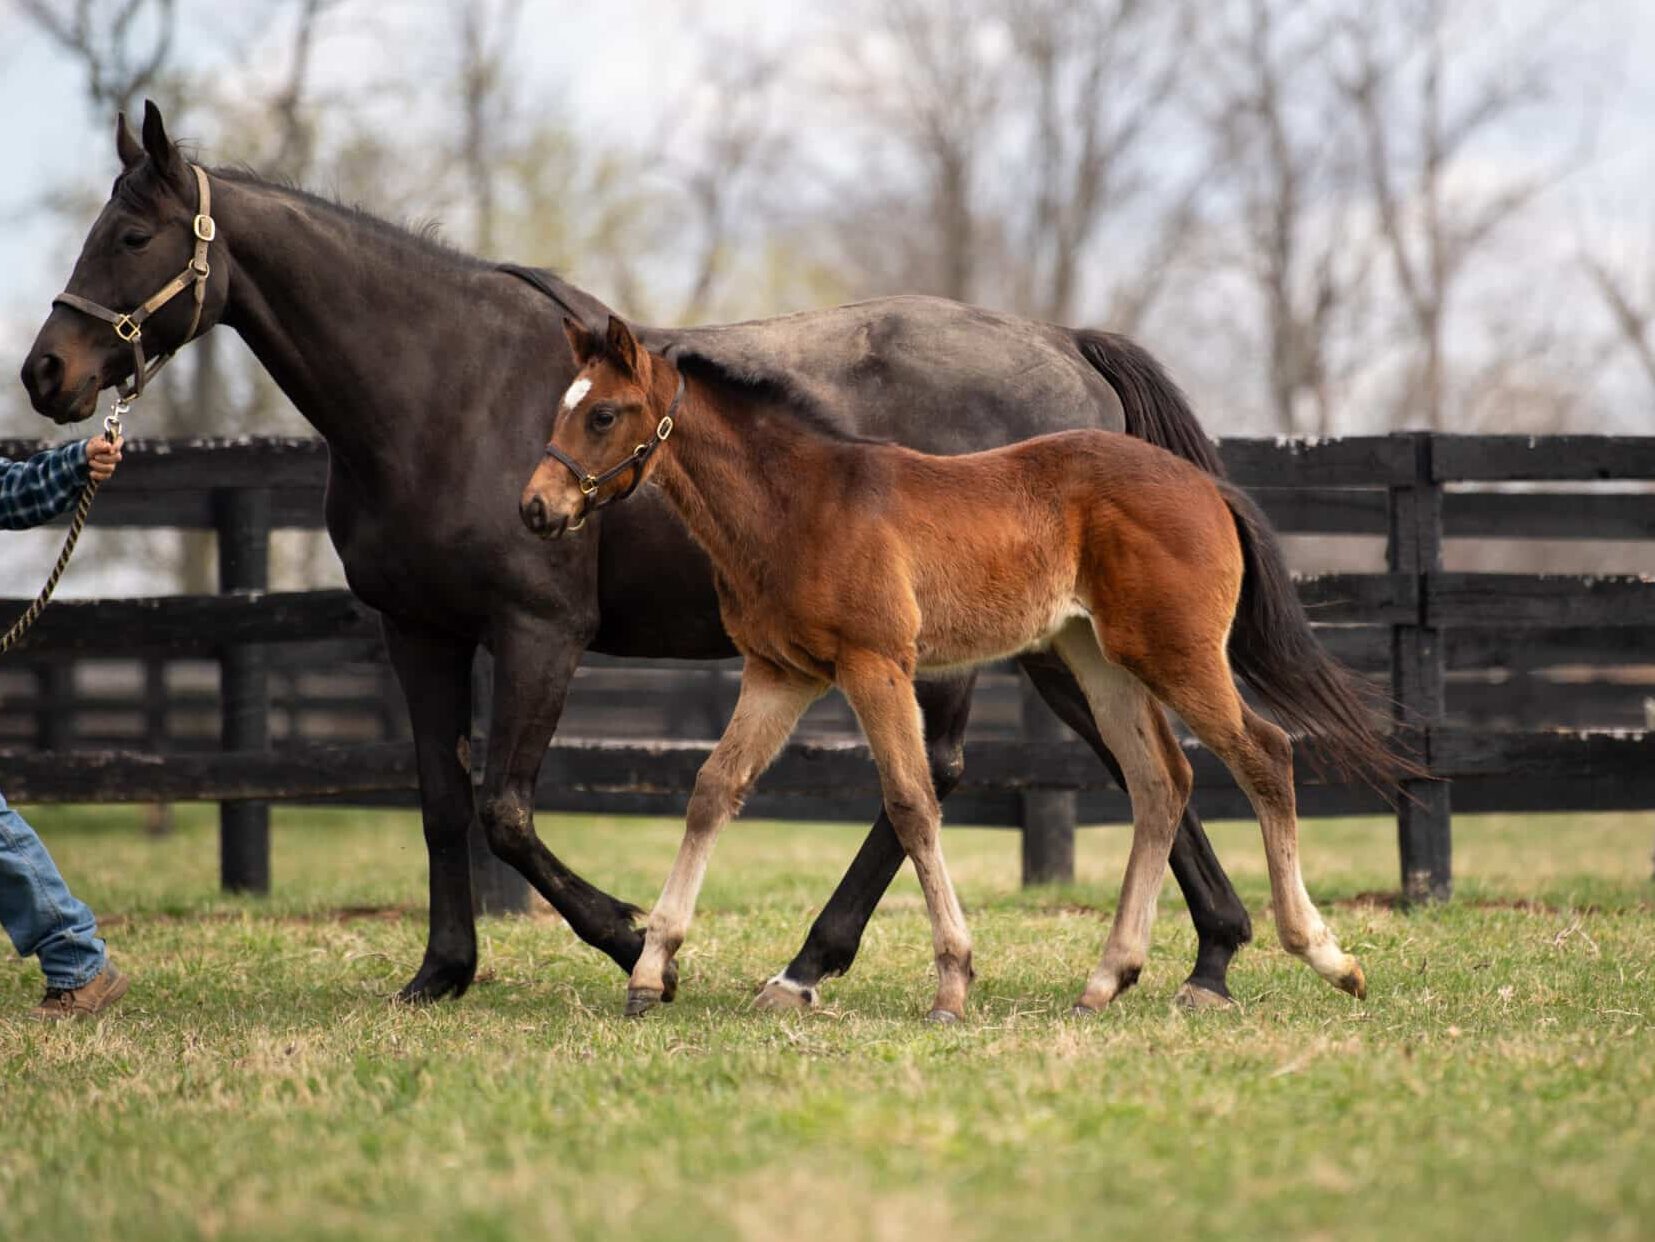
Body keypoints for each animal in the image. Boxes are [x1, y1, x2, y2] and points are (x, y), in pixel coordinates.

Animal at [21, 100, 1253, 1013]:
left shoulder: (540, 631)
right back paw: (1204, 955)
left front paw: (631, 940)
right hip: (1052, 641)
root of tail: (1066, 351)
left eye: (130, 237)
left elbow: (507, 809)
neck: (442, 388)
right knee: (1135, 766)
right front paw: (441, 972)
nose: (47, 374)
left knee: (968, 775)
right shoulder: (417, 633)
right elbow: (441, 800)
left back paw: (823, 965)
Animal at [523, 316, 1407, 1019]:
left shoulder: (875, 663)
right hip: (1099, 661)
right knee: (1161, 781)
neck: (799, 503)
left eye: (603, 413)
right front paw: (651, 969)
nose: (536, 508)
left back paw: (1325, 957)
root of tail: (1208, 486)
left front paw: (951, 982)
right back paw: (1106, 979)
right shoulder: (779, 672)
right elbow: (713, 790)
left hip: (1174, 653)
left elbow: (911, 801)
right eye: (561, 407)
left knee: (1264, 753)